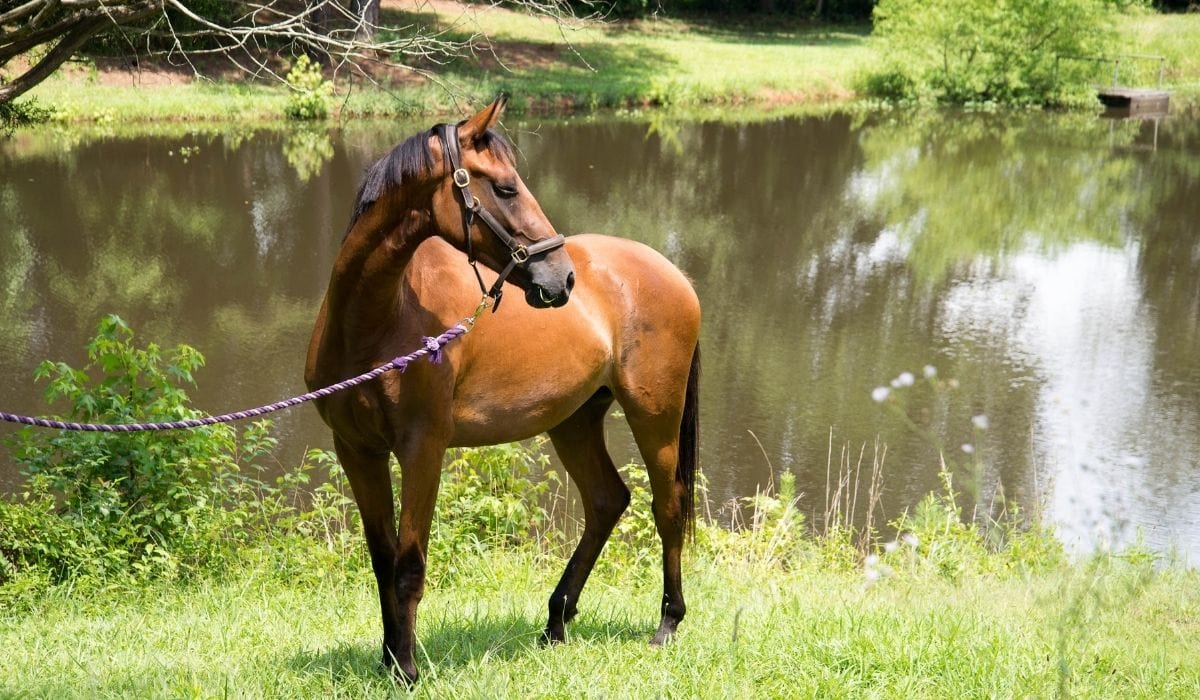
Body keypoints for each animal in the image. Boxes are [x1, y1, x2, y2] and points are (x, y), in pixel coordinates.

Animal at [305, 96, 701, 683]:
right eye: (507, 188)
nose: (561, 278)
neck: (376, 324)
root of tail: (673, 273)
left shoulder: (423, 449)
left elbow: (408, 565)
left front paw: (406, 669)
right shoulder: (357, 450)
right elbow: (382, 561)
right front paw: (389, 659)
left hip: (654, 414)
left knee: (666, 504)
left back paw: (667, 624)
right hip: (574, 421)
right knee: (607, 500)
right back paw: (556, 622)